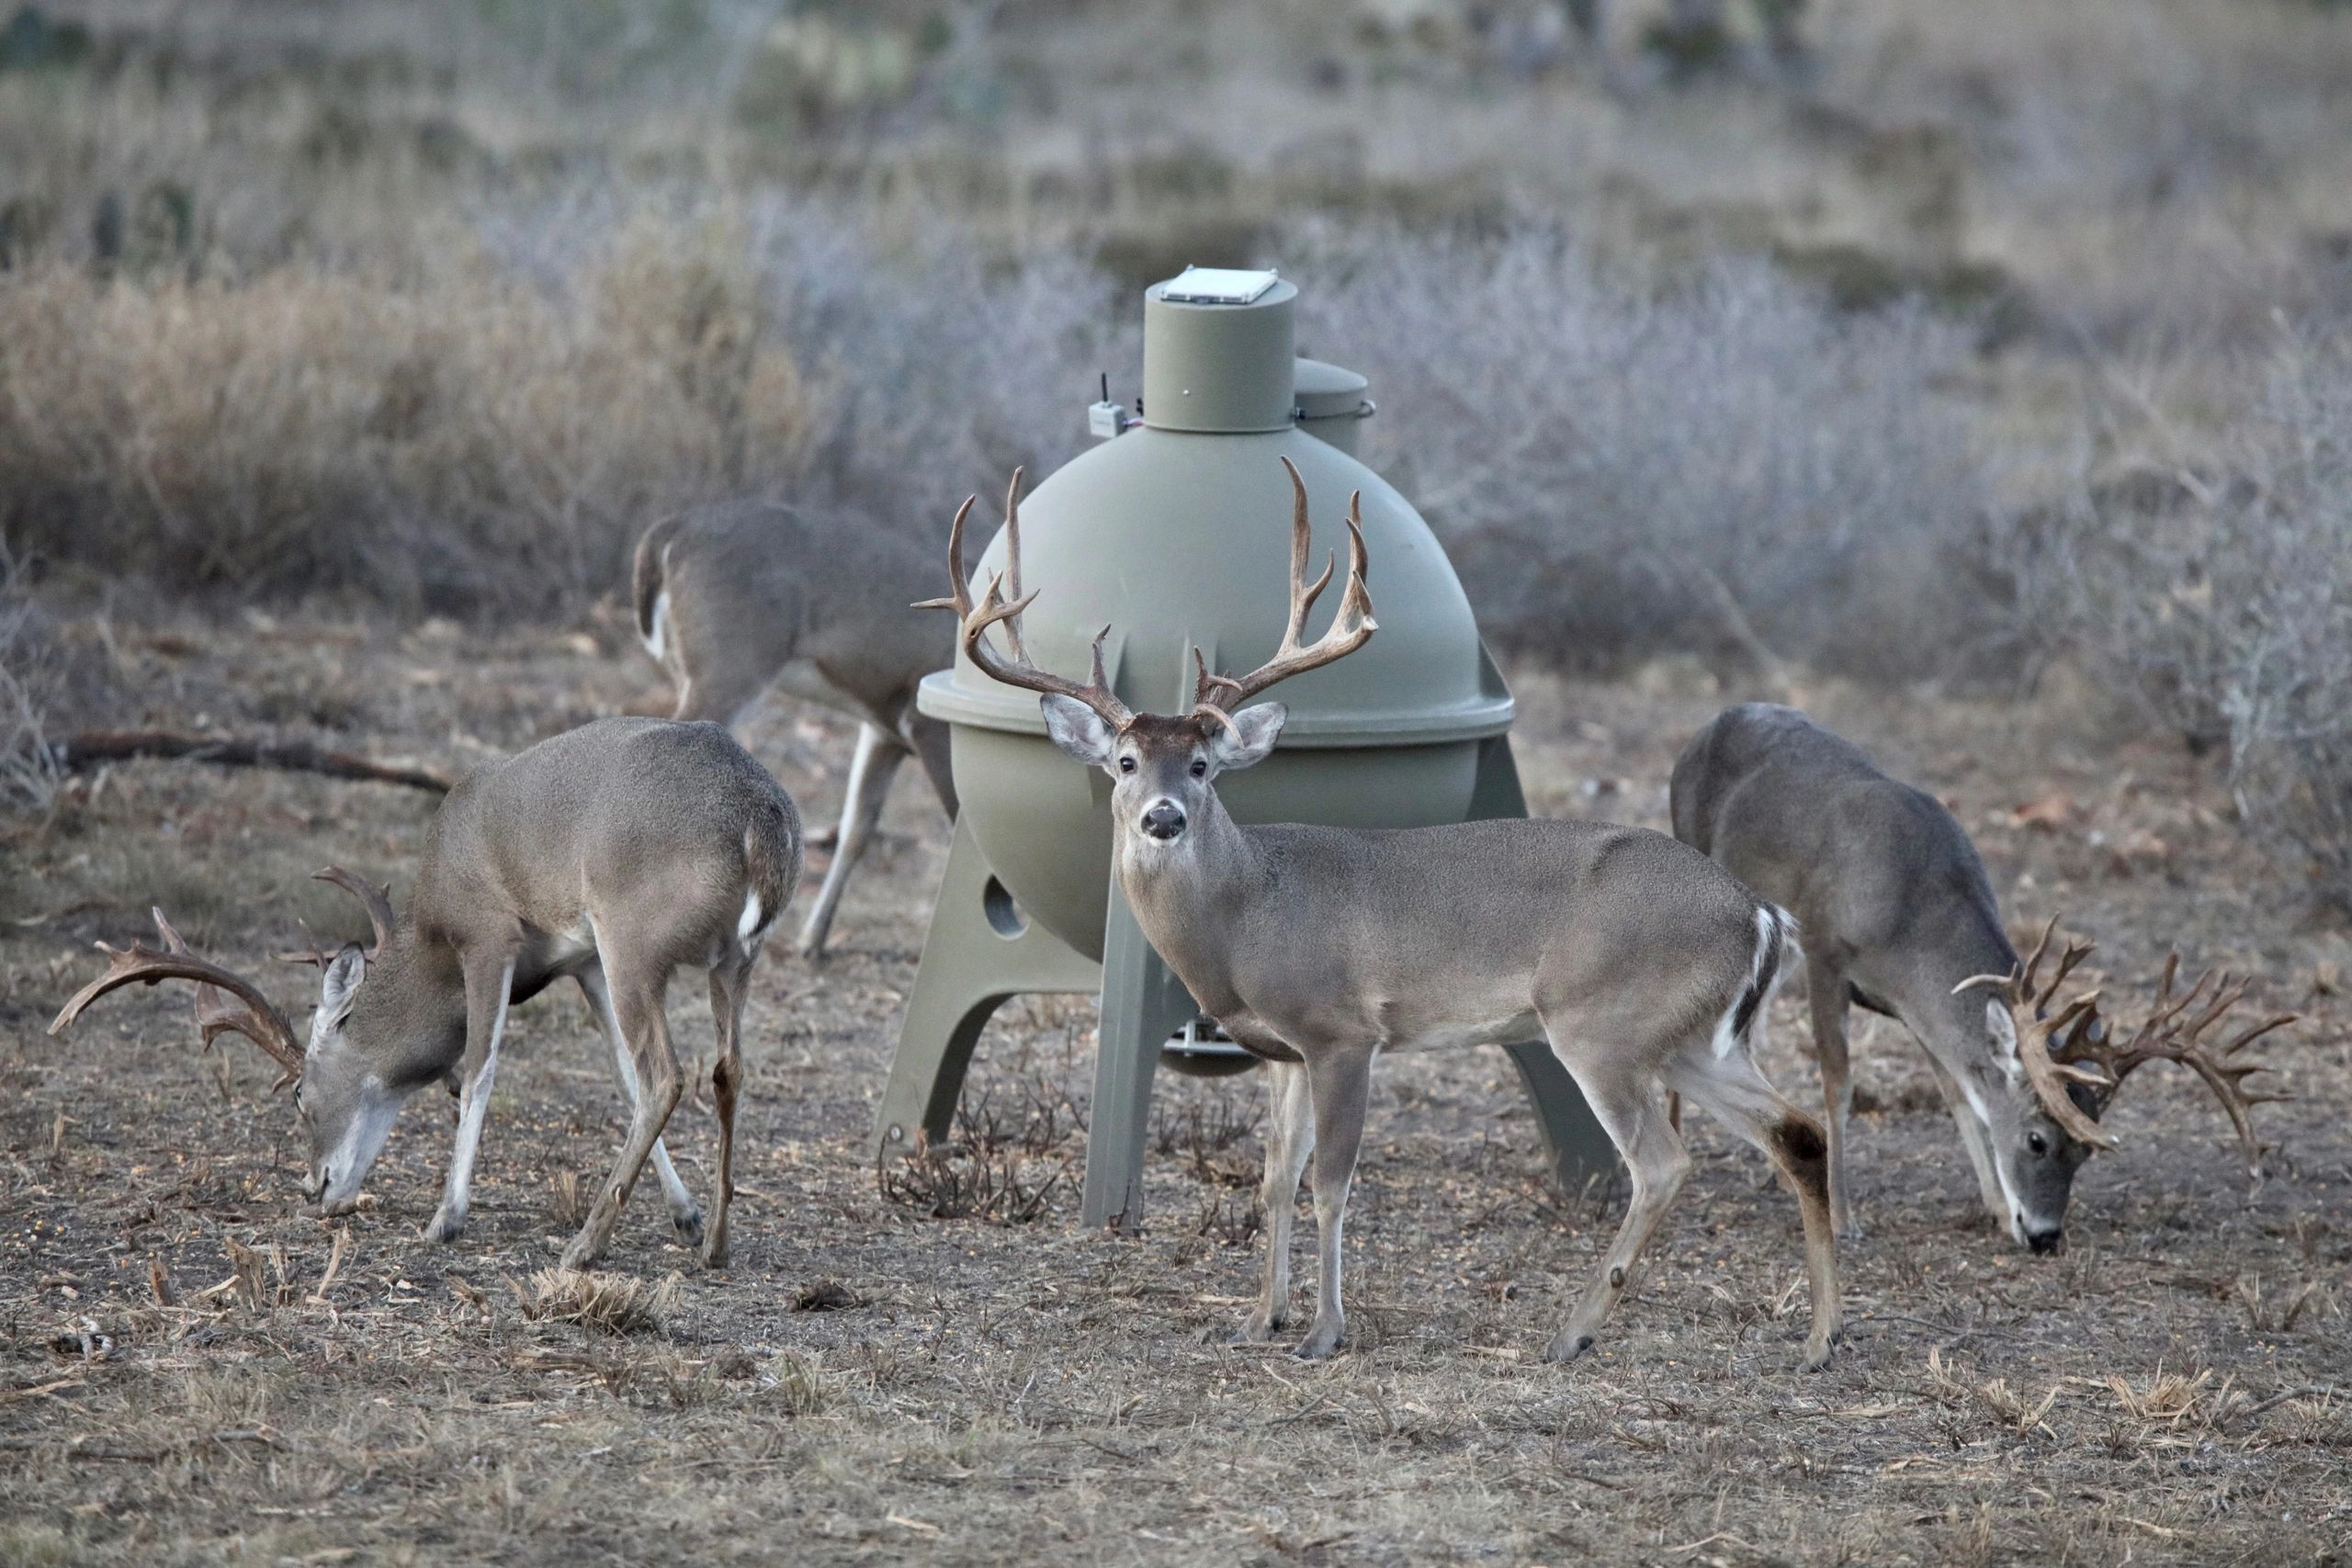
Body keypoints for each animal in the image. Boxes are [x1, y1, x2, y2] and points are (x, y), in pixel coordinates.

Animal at [50, 716, 801, 1271]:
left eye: (299, 1094)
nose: (314, 1186)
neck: (432, 924)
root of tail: (763, 825)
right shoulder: (583, 961)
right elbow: (614, 1072)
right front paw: (685, 1215)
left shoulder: (492, 935)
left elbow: (481, 1070)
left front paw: (446, 1218)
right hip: (730, 958)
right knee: (724, 1068)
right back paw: (715, 1243)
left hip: (636, 940)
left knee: (667, 1075)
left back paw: (583, 1247)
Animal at [633, 500, 957, 959]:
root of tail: (671, 531)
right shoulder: (929, 719)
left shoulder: (883, 728)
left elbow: (857, 828)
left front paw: (812, 940)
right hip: (728, 664)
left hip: (692, 667)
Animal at [921, 459, 1842, 1367]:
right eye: (1124, 761)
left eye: (1203, 764)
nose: (1163, 817)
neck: (1248, 910)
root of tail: (1761, 913)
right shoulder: (1283, 1050)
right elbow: (1274, 1177)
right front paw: (1259, 1317)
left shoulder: (1342, 1031)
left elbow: (1330, 1182)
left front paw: (1324, 1329)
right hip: (1693, 1037)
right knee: (1796, 1130)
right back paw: (1819, 1338)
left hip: (1602, 1023)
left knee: (1664, 1162)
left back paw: (1573, 1330)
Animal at [1670, 703, 2294, 1251]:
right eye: (2037, 1140)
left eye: (2086, 1152)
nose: (2045, 1237)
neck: (1912, 909)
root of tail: (1704, 728)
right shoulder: (1827, 952)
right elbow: (1839, 1084)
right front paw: (1844, 1218)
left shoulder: (1911, 1003)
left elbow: (1957, 1091)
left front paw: (1995, 1207)